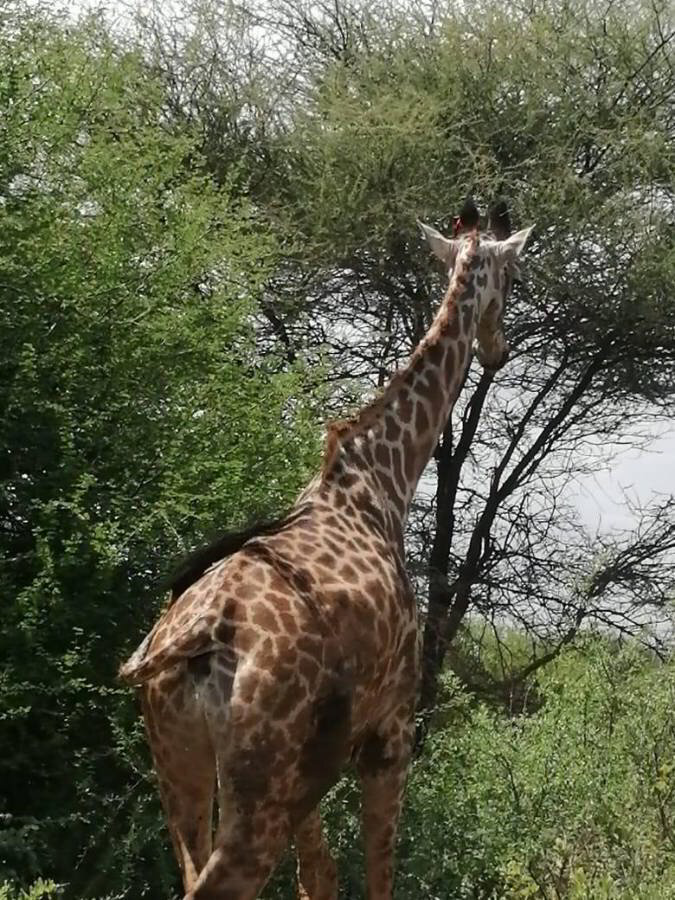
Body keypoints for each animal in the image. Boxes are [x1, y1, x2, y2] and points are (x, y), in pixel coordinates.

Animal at [119, 197, 534, 900]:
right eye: (513, 276)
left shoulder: (312, 766)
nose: (499, 349)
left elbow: (320, 874)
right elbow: (378, 867)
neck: (382, 481)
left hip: (182, 764)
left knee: (189, 865)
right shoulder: (392, 726)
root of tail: (194, 639)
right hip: (257, 784)